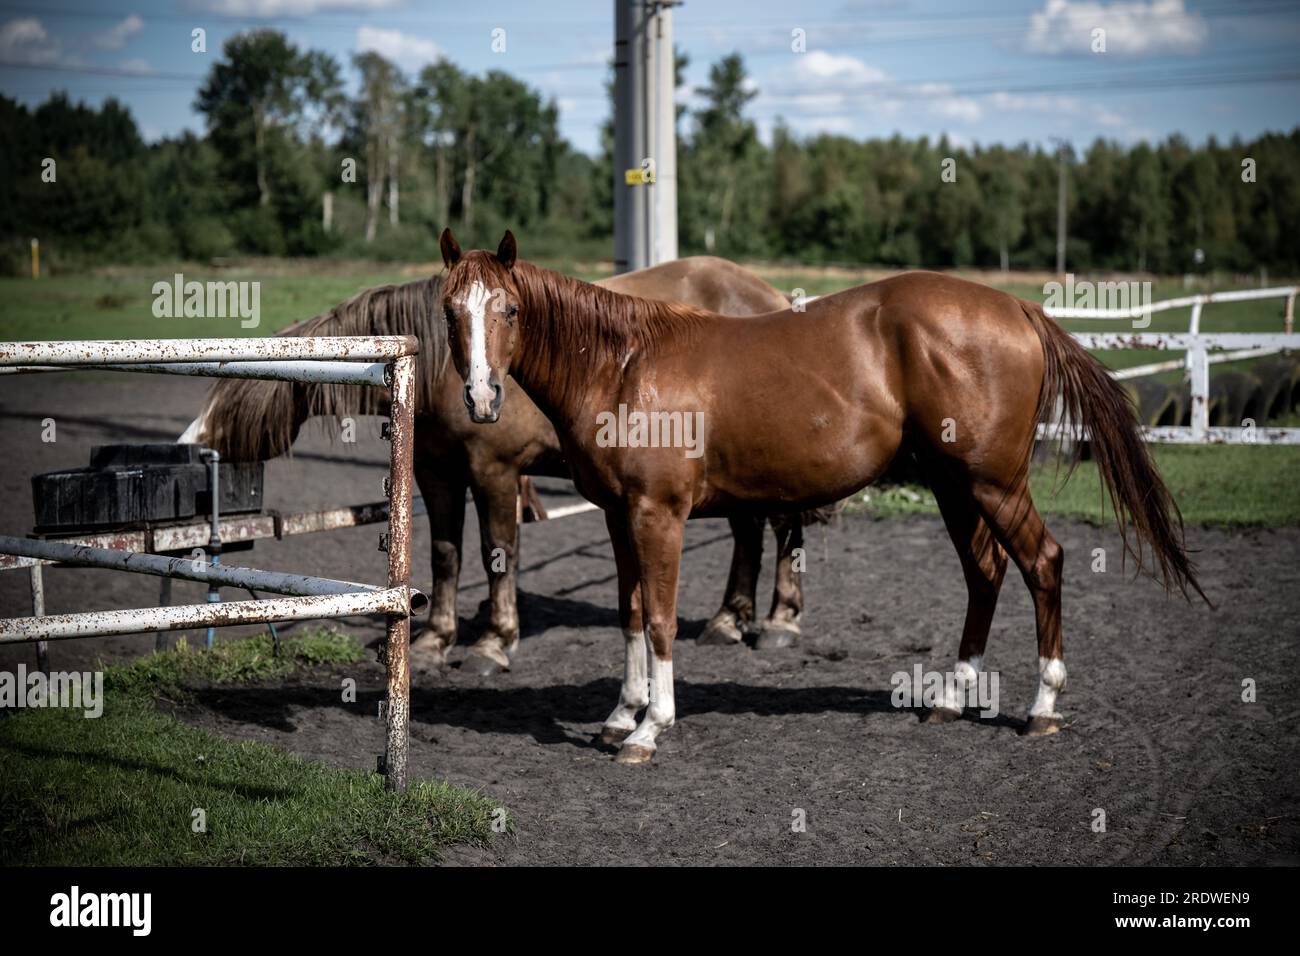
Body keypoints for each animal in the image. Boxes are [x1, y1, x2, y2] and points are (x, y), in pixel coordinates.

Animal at [181, 256, 820, 674]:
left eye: (228, 399)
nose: (190, 442)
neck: (440, 367)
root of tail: (776, 301)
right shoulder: (437, 474)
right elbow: (445, 554)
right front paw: (434, 641)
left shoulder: (495, 471)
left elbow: (498, 552)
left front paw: (494, 640)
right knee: (750, 531)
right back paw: (728, 620)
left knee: (782, 527)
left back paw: (780, 622)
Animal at [438, 229, 1207, 764]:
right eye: (450, 311)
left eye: (509, 309)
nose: (481, 397)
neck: (625, 365)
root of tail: (1016, 307)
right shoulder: (620, 517)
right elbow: (630, 617)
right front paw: (620, 716)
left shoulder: (660, 515)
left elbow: (657, 620)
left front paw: (650, 729)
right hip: (955, 485)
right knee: (984, 573)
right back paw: (951, 696)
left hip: (994, 483)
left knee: (1042, 563)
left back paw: (1043, 705)